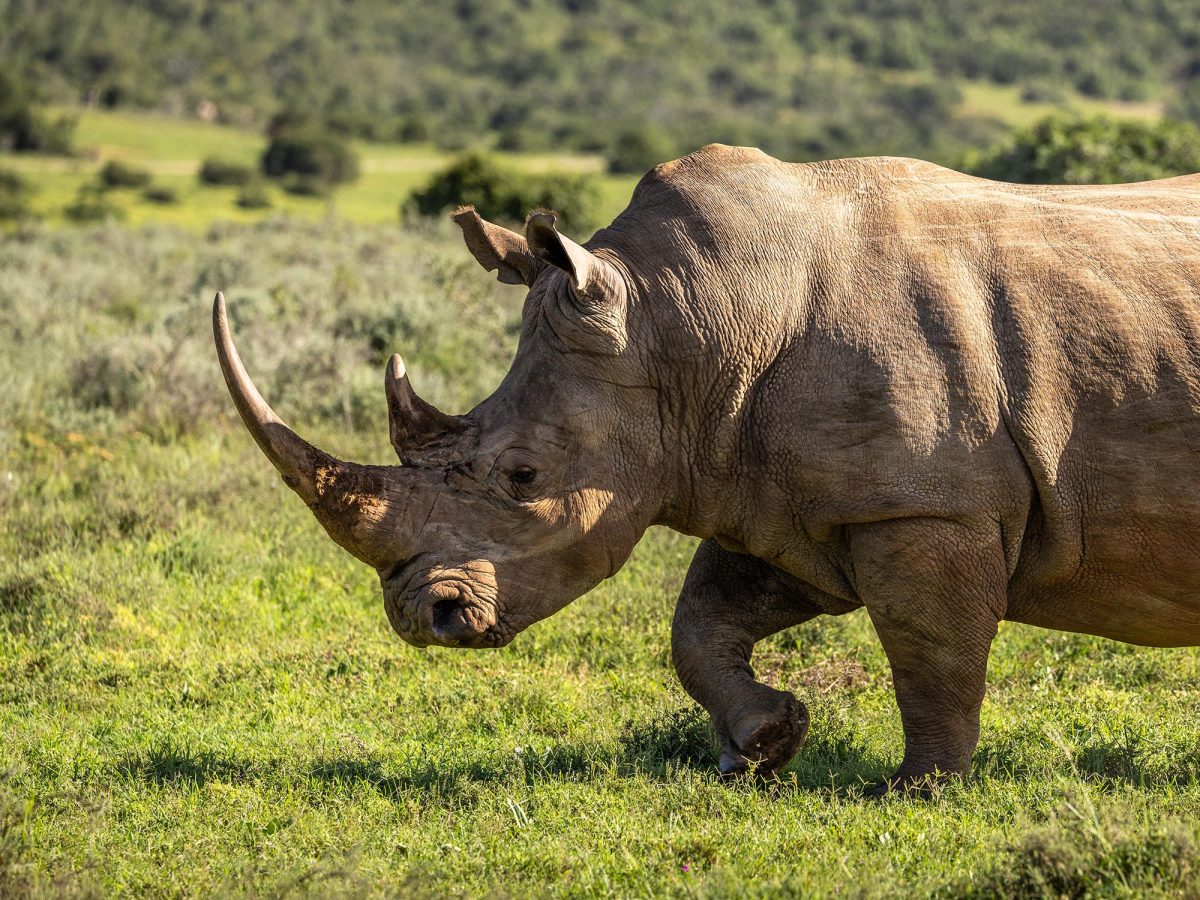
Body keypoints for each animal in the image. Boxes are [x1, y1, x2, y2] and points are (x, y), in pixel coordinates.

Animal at [214, 144, 1200, 791]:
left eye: (523, 477)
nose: (429, 620)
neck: (682, 321)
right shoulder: (778, 491)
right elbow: (700, 622)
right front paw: (764, 744)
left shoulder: (921, 504)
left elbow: (932, 652)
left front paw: (920, 790)